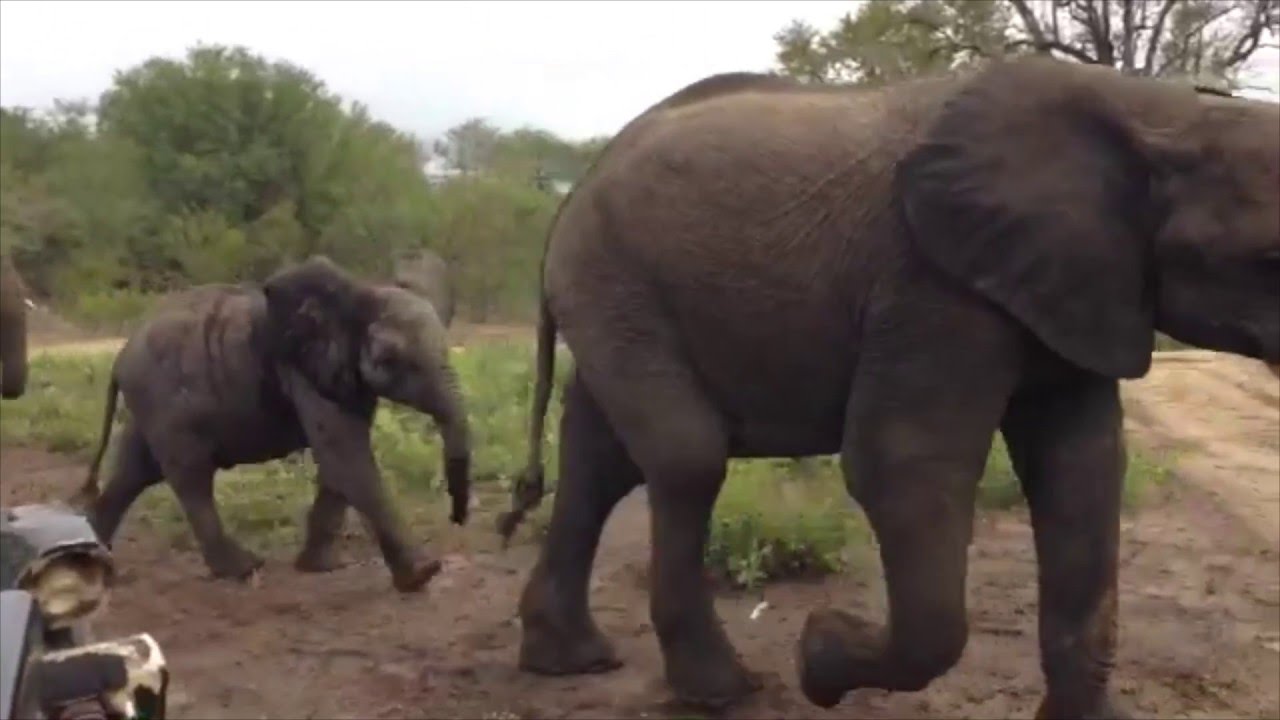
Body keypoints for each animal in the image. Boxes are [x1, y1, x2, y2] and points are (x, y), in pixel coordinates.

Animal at [76, 255, 471, 592]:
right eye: (389, 359)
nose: (457, 517)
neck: (359, 293)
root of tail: (119, 357)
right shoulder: (300, 368)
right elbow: (345, 456)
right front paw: (423, 575)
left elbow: (339, 463)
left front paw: (319, 568)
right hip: (164, 402)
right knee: (190, 478)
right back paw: (243, 569)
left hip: (150, 406)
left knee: (135, 472)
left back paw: (92, 563)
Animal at [494, 56, 1279, 716]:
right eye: (1269, 257)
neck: (1157, 109)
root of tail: (575, 191)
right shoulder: (928, 278)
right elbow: (902, 464)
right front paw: (818, 655)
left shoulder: (1080, 282)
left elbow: (1082, 472)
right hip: (614, 279)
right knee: (686, 458)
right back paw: (721, 691)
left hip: (614, 292)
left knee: (599, 460)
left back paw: (570, 662)